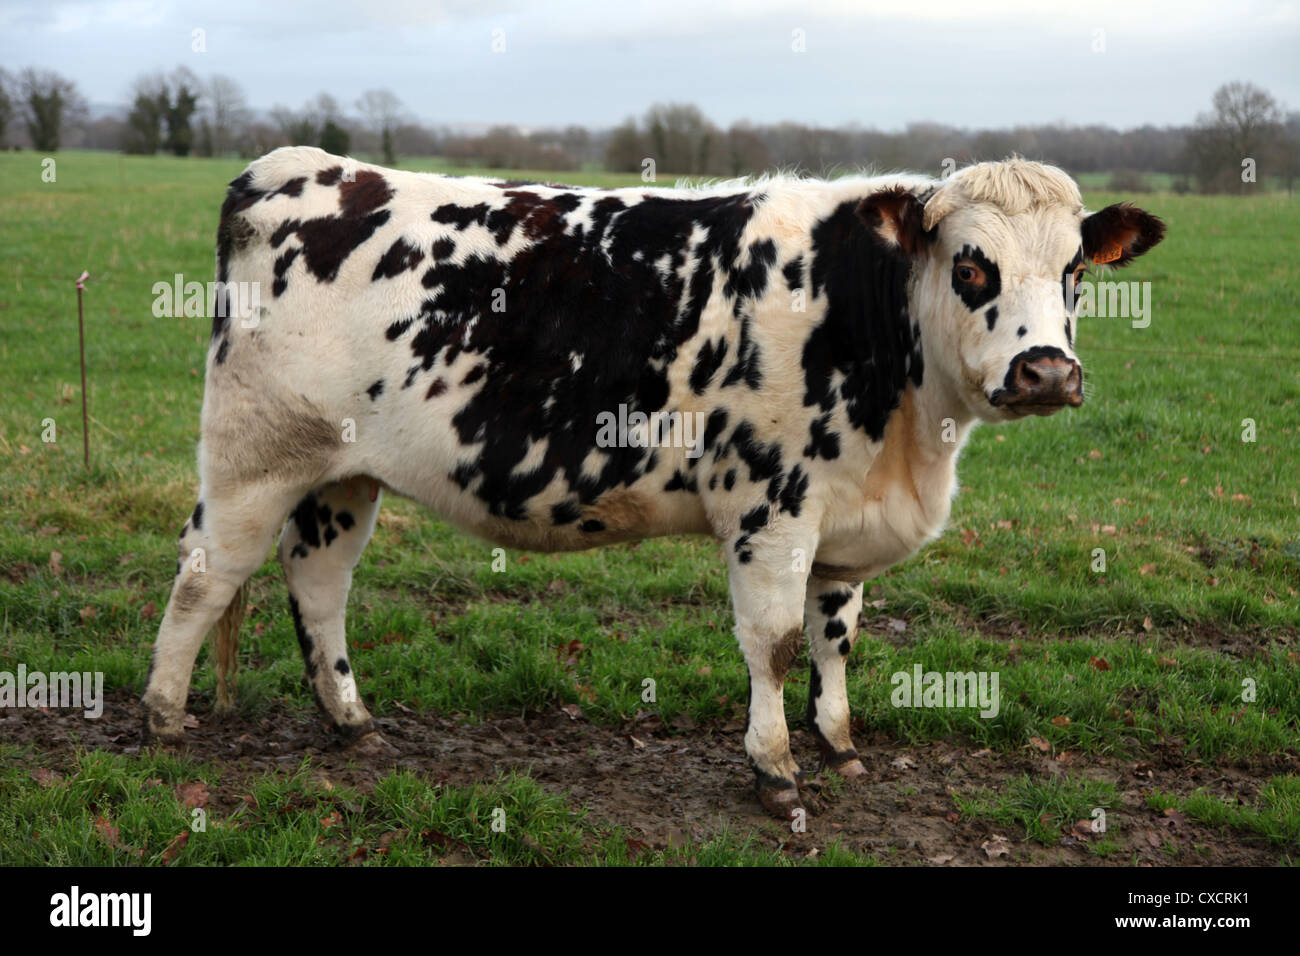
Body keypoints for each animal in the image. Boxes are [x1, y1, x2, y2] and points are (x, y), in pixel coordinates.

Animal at [142, 147, 1164, 819]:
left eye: (1074, 269)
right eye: (972, 264)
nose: (1045, 371)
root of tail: (304, 166)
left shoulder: (841, 521)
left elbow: (835, 640)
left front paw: (838, 745)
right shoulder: (771, 510)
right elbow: (775, 644)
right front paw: (775, 771)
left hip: (342, 473)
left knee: (317, 581)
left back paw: (351, 721)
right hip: (254, 455)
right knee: (203, 574)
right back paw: (162, 717)